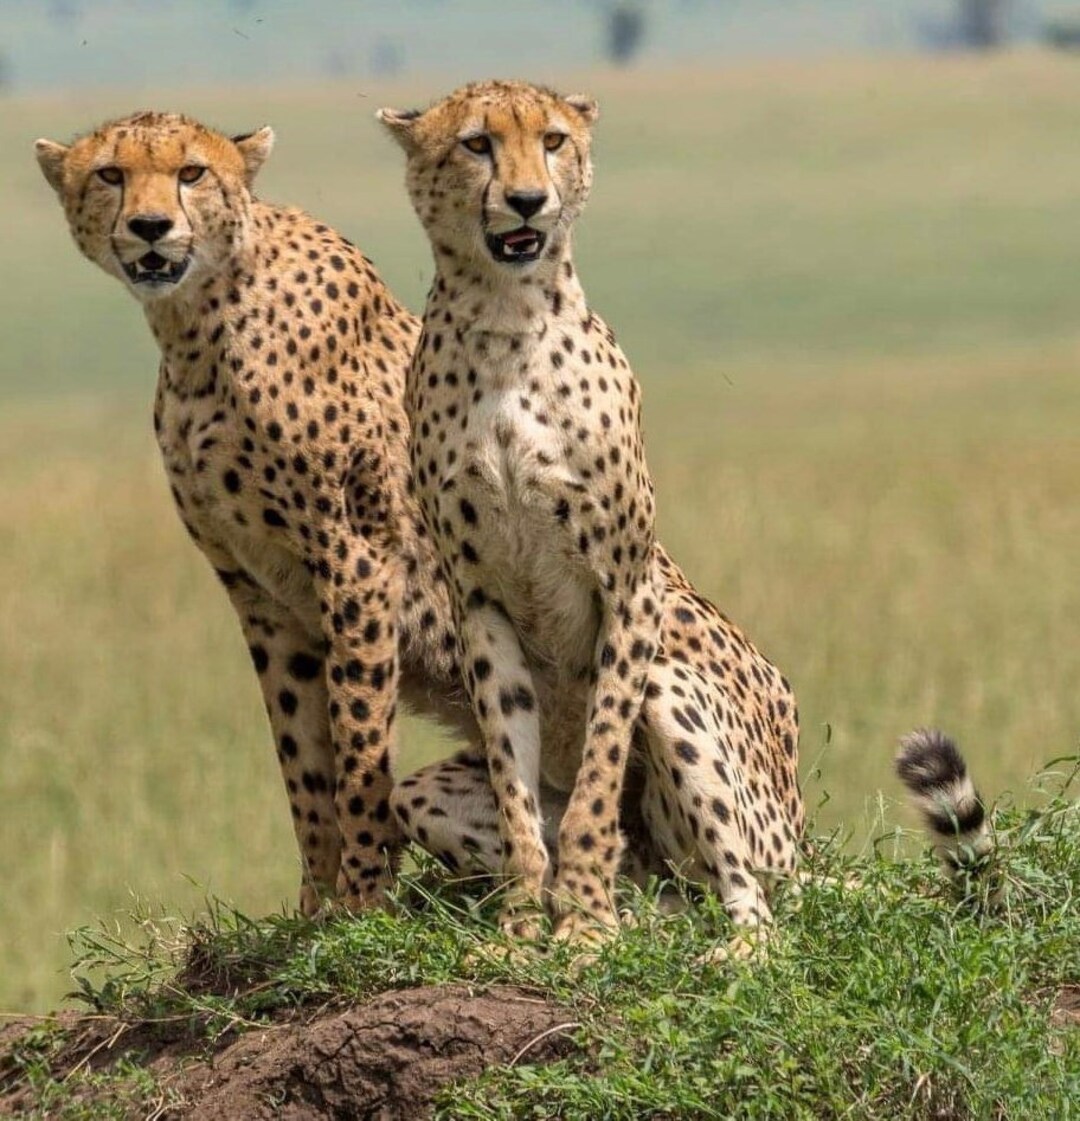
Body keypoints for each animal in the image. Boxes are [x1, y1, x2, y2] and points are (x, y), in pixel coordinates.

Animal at [34, 110, 478, 916]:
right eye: (110, 174)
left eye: (191, 173)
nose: (150, 227)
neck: (197, 326)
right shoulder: (259, 589)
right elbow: (302, 755)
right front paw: (315, 906)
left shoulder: (355, 558)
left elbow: (358, 738)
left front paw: (362, 902)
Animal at [378, 80, 805, 946]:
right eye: (476, 144)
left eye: (553, 139)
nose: (527, 201)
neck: (505, 323)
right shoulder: (478, 599)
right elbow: (515, 780)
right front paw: (521, 923)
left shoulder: (629, 587)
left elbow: (602, 761)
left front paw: (581, 920)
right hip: (420, 794)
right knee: (666, 885)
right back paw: (638, 910)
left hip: (690, 714)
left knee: (756, 898)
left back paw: (726, 945)